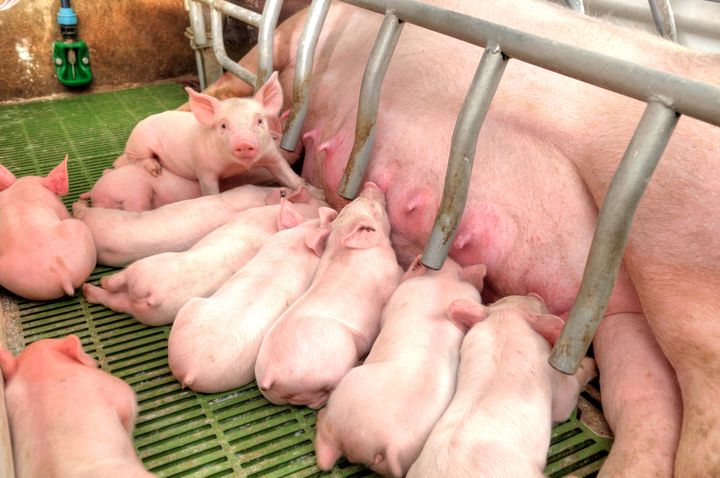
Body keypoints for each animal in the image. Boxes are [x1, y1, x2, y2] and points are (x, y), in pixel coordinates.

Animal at [83, 198, 320, 326]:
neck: (268, 226)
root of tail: (154, 296)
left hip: (143, 270)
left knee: (117, 284)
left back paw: (96, 284)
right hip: (150, 314)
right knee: (115, 302)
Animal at [113, 71, 309, 195]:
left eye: (259, 121)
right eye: (222, 125)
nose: (244, 142)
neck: (236, 166)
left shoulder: (271, 154)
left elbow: (288, 175)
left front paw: (308, 188)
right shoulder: (204, 169)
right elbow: (210, 191)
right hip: (140, 143)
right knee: (137, 159)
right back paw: (156, 170)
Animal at [254, 182, 403, 409]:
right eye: (374, 211)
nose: (370, 184)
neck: (342, 244)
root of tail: (268, 376)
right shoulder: (391, 276)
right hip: (337, 357)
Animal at [314, 256, 486, 477]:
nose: (448, 256)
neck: (446, 282)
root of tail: (389, 445)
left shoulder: (396, 297)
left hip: (346, 394)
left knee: (326, 449)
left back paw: (320, 417)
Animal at [406, 294, 597, 478]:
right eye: (538, 307)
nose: (535, 293)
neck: (505, 324)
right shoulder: (556, 384)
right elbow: (567, 400)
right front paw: (593, 365)